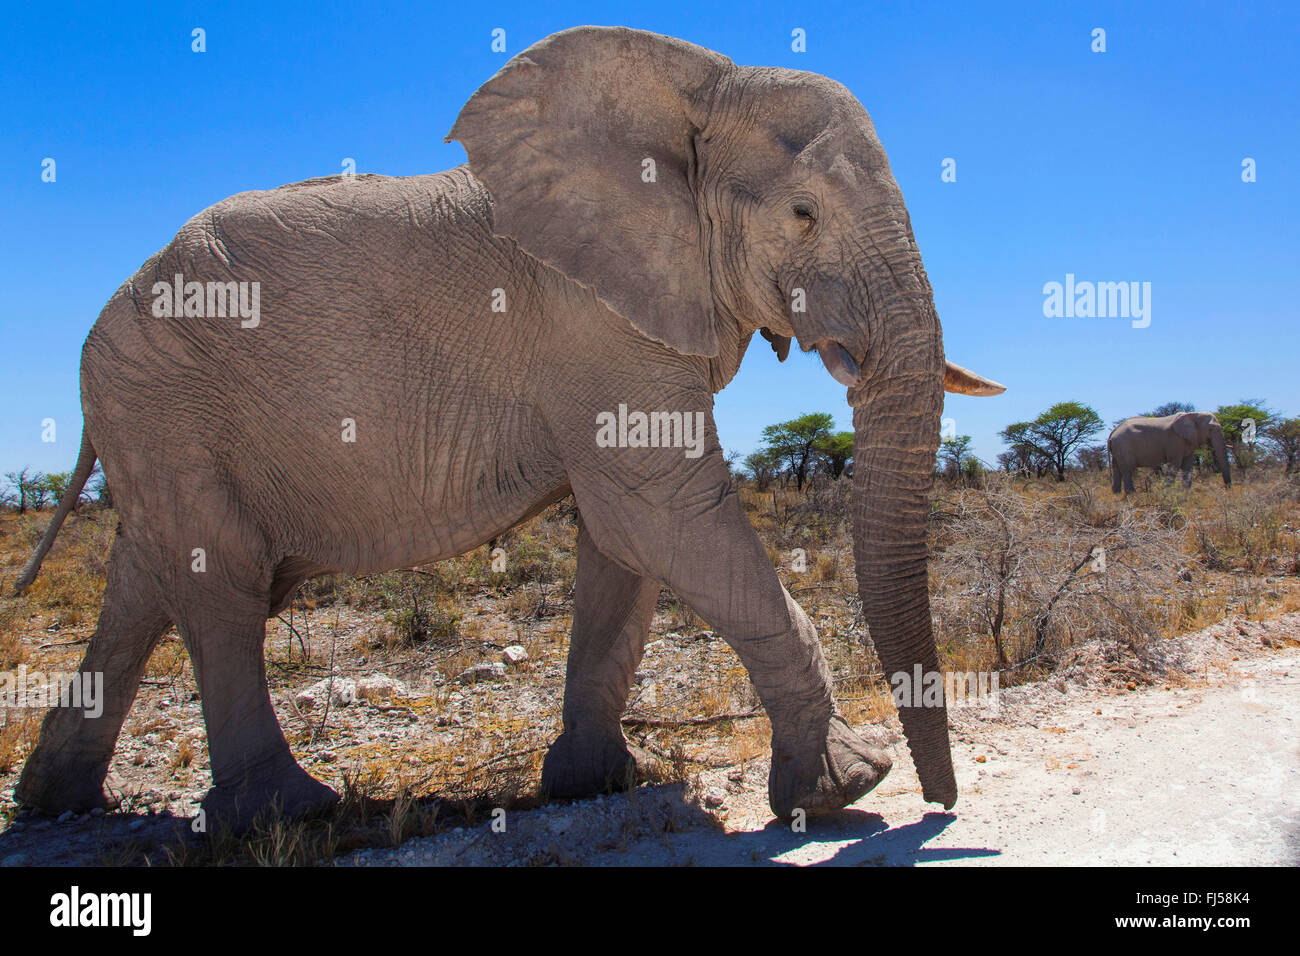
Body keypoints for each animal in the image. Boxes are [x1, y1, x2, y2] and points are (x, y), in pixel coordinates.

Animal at [13, 26, 1005, 831]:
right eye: (803, 216)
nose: (941, 809)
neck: (692, 88)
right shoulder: (588, 317)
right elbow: (663, 514)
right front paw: (847, 789)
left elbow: (623, 541)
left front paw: (595, 784)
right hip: (163, 402)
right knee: (217, 582)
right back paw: (288, 815)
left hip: (153, 416)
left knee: (147, 582)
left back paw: (58, 803)